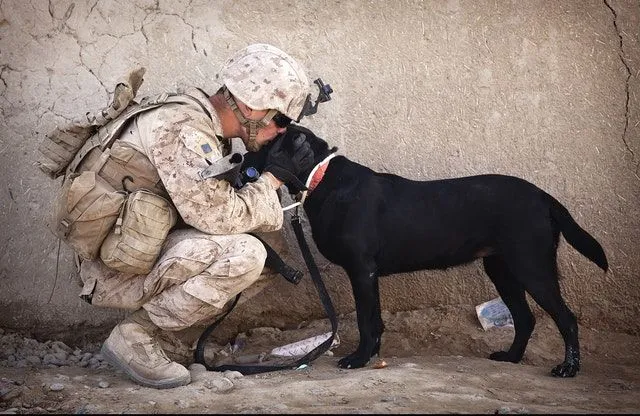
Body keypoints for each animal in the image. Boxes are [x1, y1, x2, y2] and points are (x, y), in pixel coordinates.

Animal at [242, 124, 608, 376]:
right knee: (525, 318)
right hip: (501, 269)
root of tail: (544, 196)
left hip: (531, 266)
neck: (322, 178)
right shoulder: (368, 274)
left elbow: (365, 320)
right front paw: (371, 356)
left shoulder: (361, 270)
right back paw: (511, 357)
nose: (238, 156)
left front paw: (359, 359)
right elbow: (375, 320)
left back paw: (568, 368)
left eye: (266, 144)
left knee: (565, 318)